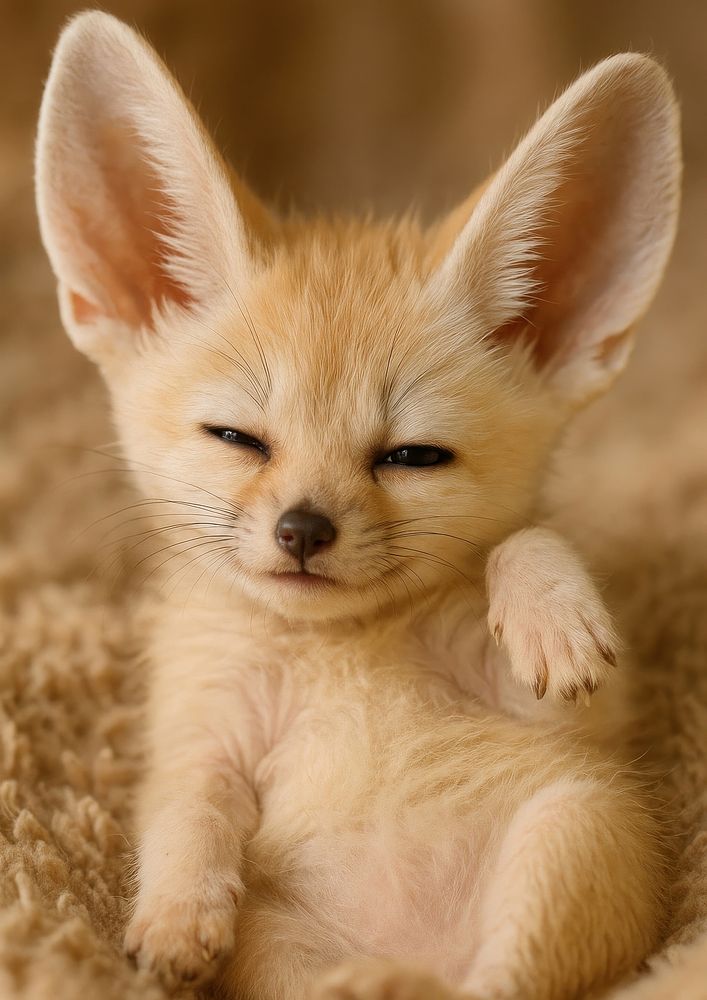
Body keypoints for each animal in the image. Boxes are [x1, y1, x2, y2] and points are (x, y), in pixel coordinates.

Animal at [35, 12, 681, 1000]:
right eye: (238, 437)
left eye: (410, 456)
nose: (302, 529)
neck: (328, 652)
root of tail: (421, 954)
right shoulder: (201, 736)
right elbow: (186, 819)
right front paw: (175, 919)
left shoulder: (571, 724)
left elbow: (525, 540)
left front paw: (553, 618)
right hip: (282, 947)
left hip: (572, 825)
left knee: (491, 987)